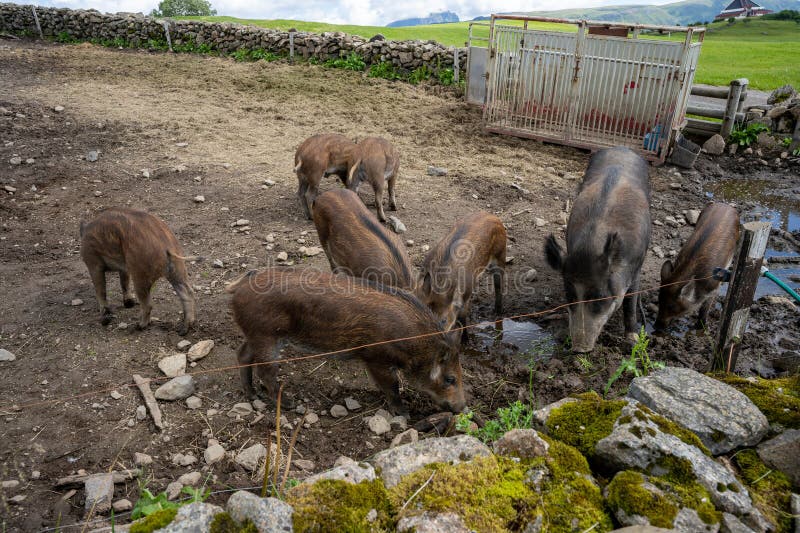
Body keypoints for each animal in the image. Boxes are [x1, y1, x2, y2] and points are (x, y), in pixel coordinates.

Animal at [227, 268, 465, 416]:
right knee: (265, 371)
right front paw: (404, 414)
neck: (415, 343)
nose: (462, 408)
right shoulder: (376, 358)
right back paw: (288, 403)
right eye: (450, 379)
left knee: (242, 355)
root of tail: (239, 286)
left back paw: (252, 394)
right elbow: (392, 386)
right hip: (266, 337)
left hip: (255, 336)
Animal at [545, 147, 651, 353]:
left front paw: (632, 341)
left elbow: (630, 304)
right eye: (570, 296)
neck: (591, 247)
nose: (579, 349)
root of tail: (622, 147)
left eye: (599, 298)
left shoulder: (636, 268)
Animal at [655, 203, 740, 331]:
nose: (656, 326)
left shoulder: (713, 289)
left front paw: (701, 327)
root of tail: (725, 205)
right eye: (659, 300)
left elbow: (704, 310)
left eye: (671, 307)